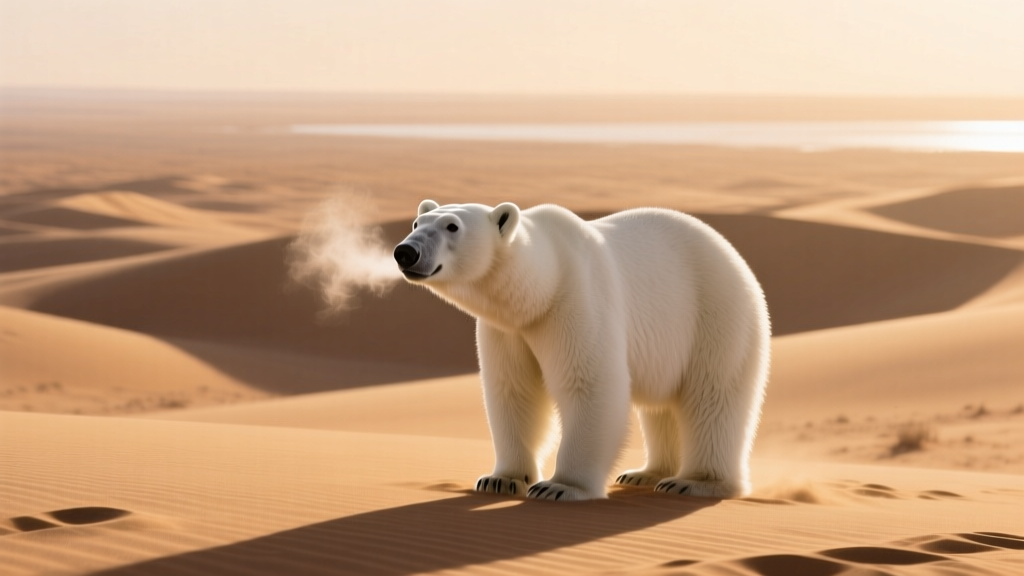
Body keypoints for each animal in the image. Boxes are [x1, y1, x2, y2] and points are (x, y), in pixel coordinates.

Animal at [393, 200, 770, 501]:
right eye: (416, 224)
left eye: (452, 226)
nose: (405, 252)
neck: (541, 285)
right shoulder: (507, 331)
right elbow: (514, 392)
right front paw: (501, 480)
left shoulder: (577, 301)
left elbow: (589, 385)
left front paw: (559, 486)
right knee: (661, 408)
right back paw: (646, 473)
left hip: (715, 316)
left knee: (713, 397)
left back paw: (695, 482)